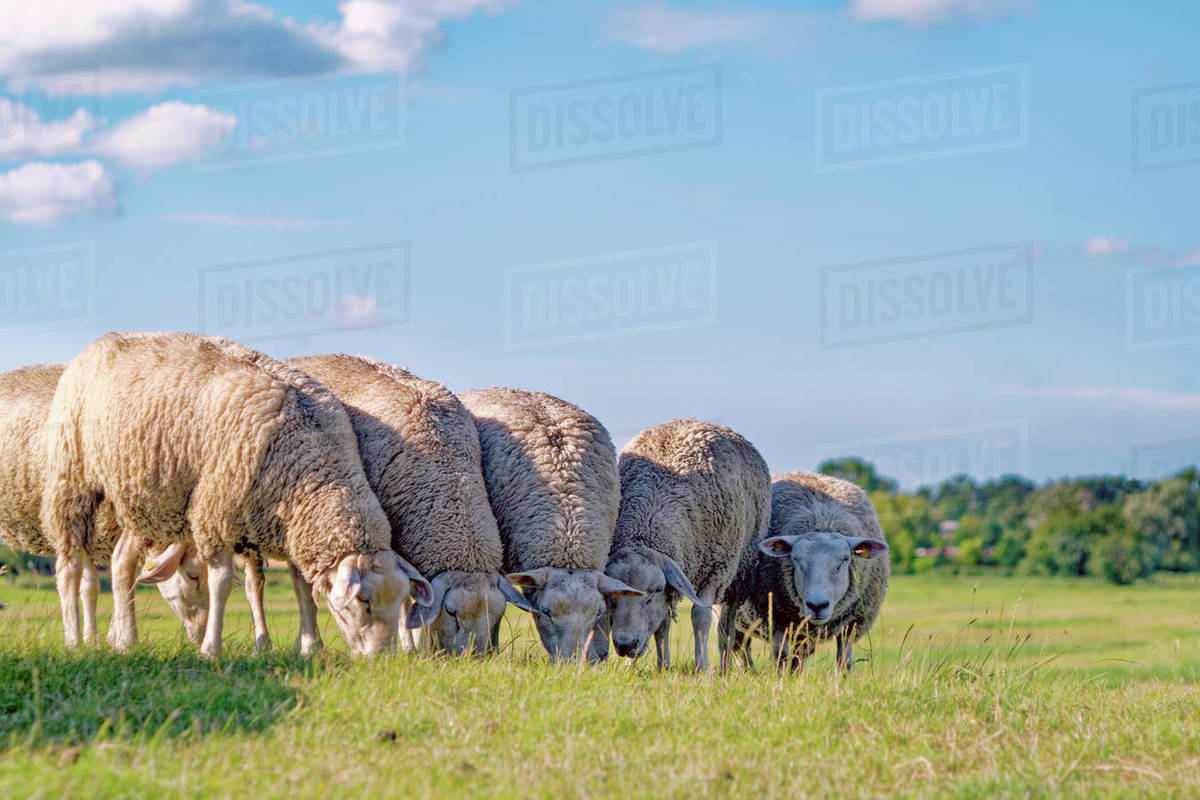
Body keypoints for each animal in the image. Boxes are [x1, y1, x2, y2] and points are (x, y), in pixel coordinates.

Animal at [40, 331, 433, 657]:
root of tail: (100, 343)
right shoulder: (216, 512)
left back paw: (124, 640)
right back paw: (75, 639)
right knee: (69, 567)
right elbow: (221, 584)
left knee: (121, 561)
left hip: (142, 499)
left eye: (401, 599)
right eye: (363, 600)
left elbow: (300, 587)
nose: (383, 658)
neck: (314, 464)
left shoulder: (286, 523)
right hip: (70, 478)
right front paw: (210, 649)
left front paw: (310, 647)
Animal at [602, 419, 771, 671]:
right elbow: (662, 623)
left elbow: (700, 617)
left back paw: (724, 667)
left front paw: (701, 666)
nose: (625, 645)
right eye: (612, 597)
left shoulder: (715, 570)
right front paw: (659, 666)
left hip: (738, 572)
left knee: (726, 626)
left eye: (652, 594)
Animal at [719, 471, 890, 672]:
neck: (823, 517)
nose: (817, 605)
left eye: (844, 560)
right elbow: (781, 658)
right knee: (739, 647)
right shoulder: (778, 621)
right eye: (796, 560)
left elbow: (845, 663)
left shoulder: (851, 624)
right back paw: (748, 672)